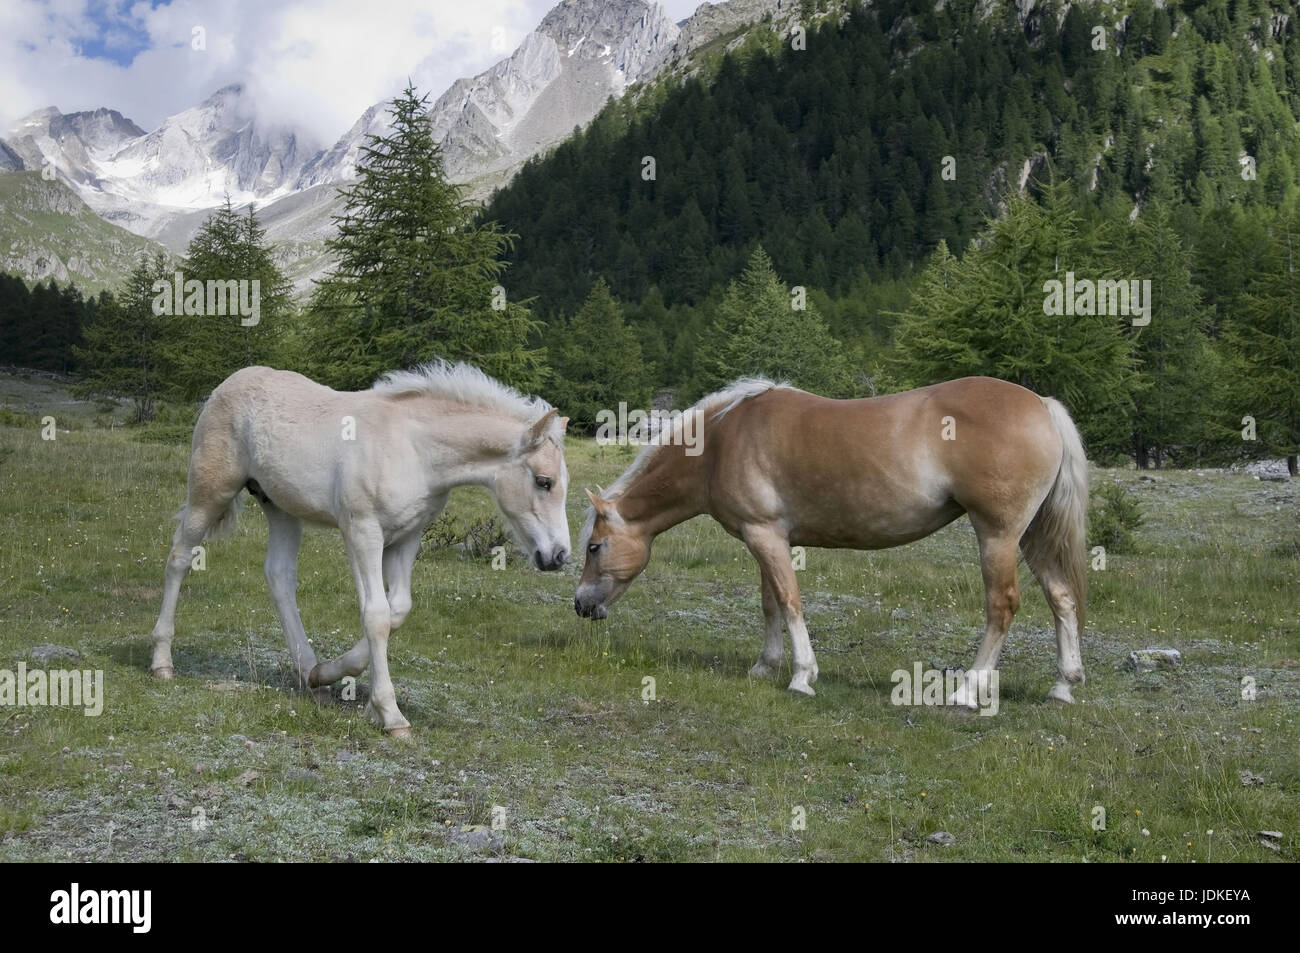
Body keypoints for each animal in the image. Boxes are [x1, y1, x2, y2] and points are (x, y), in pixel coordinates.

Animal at [148, 361, 571, 737]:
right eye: (544, 481)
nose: (559, 556)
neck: (413, 449)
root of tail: (229, 382)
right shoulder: (362, 531)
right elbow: (376, 615)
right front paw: (390, 714)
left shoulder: (407, 537)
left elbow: (398, 609)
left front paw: (340, 681)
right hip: (210, 491)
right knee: (179, 557)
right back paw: (162, 662)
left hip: (281, 507)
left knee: (279, 576)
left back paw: (311, 676)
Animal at [574, 376, 1087, 708]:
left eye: (594, 547)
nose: (580, 605)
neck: (721, 441)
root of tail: (1042, 404)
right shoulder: (765, 538)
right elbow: (770, 603)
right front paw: (766, 666)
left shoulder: (764, 534)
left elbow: (789, 601)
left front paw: (802, 676)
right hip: (1033, 537)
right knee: (1061, 597)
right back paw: (1063, 686)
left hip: (997, 536)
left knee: (1002, 606)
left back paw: (967, 690)